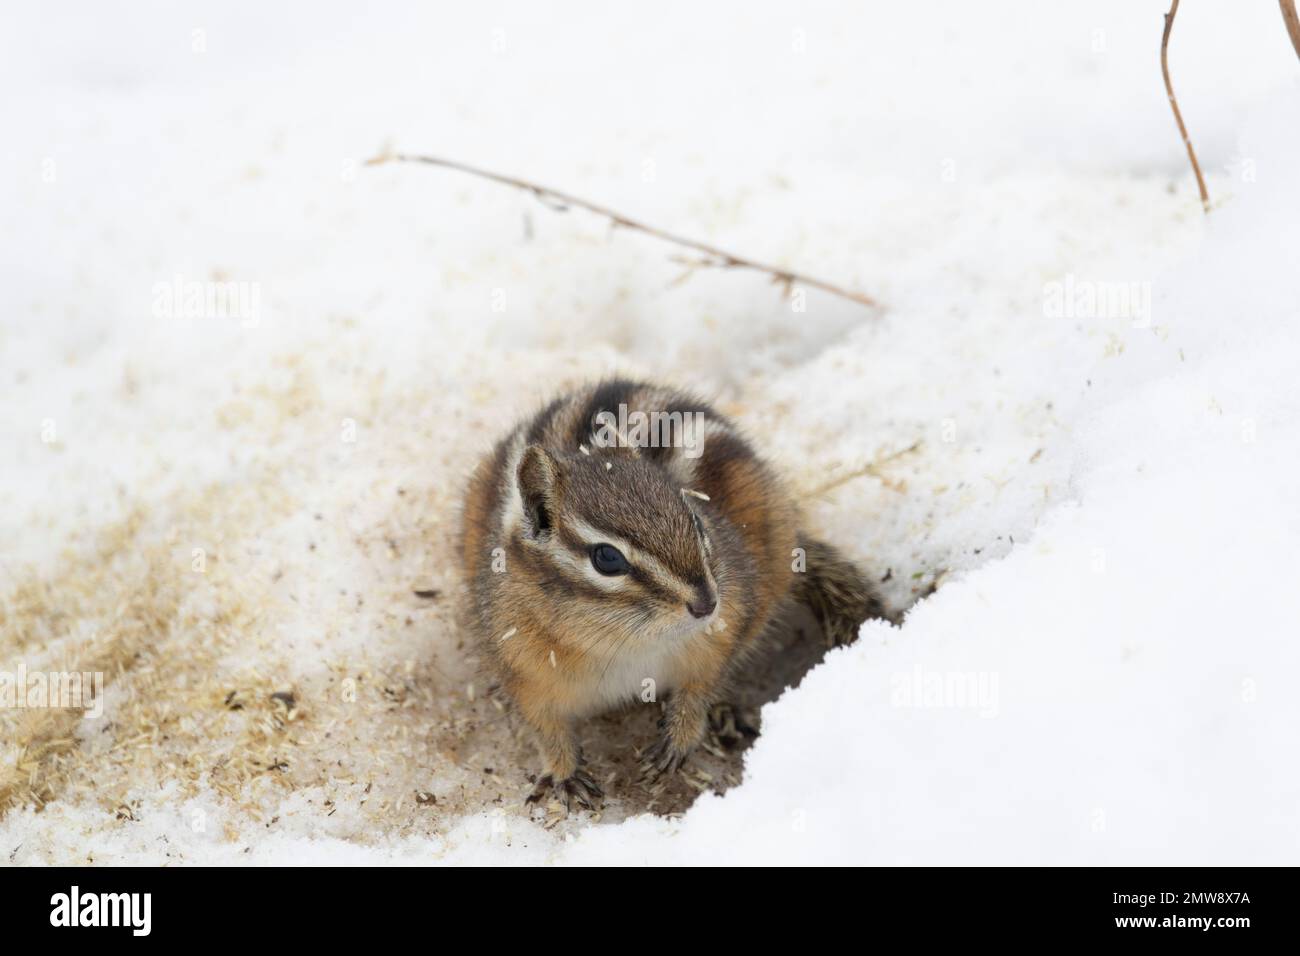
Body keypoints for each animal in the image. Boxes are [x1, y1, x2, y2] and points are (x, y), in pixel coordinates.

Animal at [459, 380, 881, 810]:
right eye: (607, 558)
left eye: (696, 519)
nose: (707, 604)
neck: (623, 643)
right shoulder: (523, 672)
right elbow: (544, 728)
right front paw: (564, 772)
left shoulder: (723, 631)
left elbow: (703, 684)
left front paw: (680, 737)